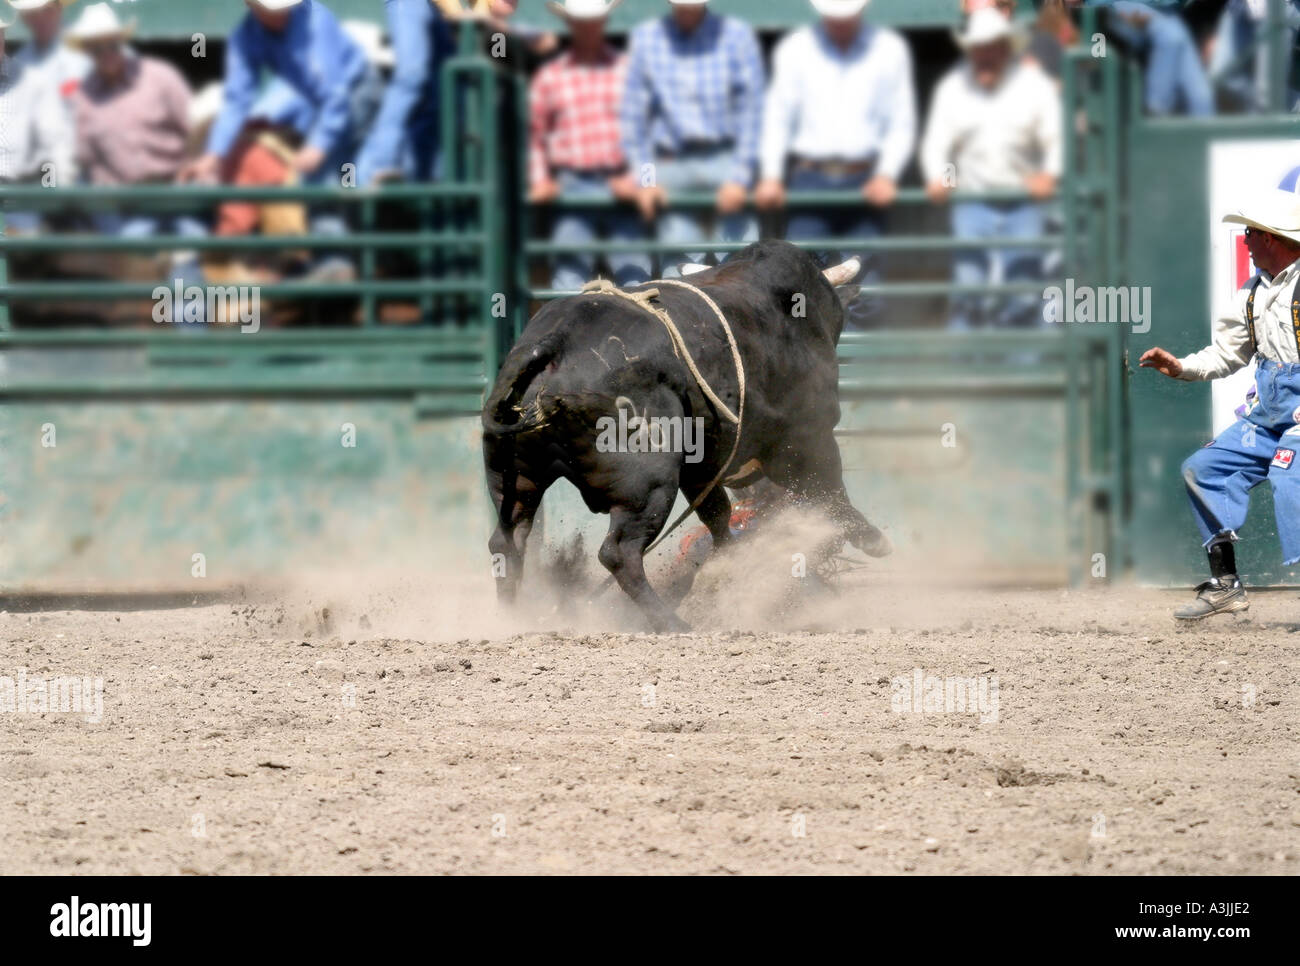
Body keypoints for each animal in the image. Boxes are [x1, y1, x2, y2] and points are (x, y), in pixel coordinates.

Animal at [481, 240, 891, 632]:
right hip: (649, 482)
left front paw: (726, 562)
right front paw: (871, 538)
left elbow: (718, 512)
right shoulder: (804, 442)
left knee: (508, 542)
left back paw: (513, 616)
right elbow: (831, 493)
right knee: (619, 553)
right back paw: (671, 622)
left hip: (516, 477)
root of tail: (554, 341)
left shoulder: (702, 465)